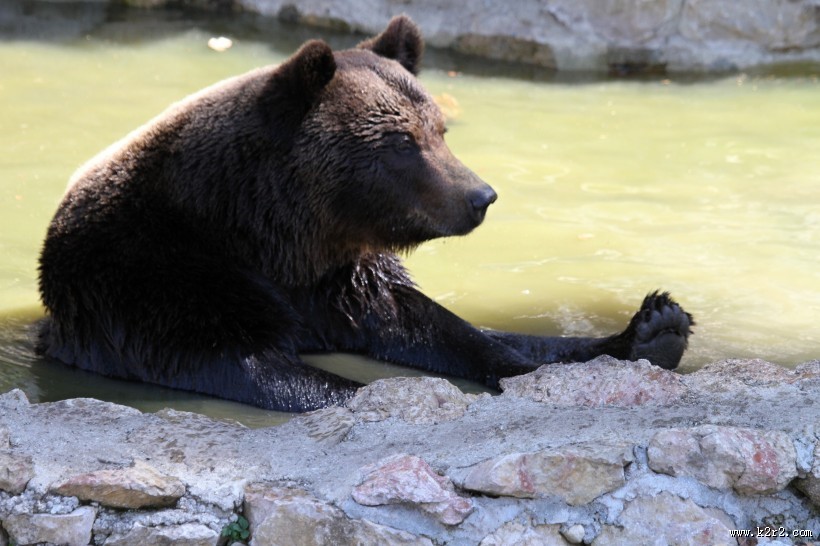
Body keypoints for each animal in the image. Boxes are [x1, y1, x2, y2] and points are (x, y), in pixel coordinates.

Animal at [37, 16, 693, 412]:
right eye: (401, 141)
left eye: (440, 129)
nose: (479, 196)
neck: (269, 234)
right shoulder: (157, 284)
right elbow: (250, 365)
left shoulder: (343, 277)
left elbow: (440, 326)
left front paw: (651, 328)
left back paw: (653, 331)